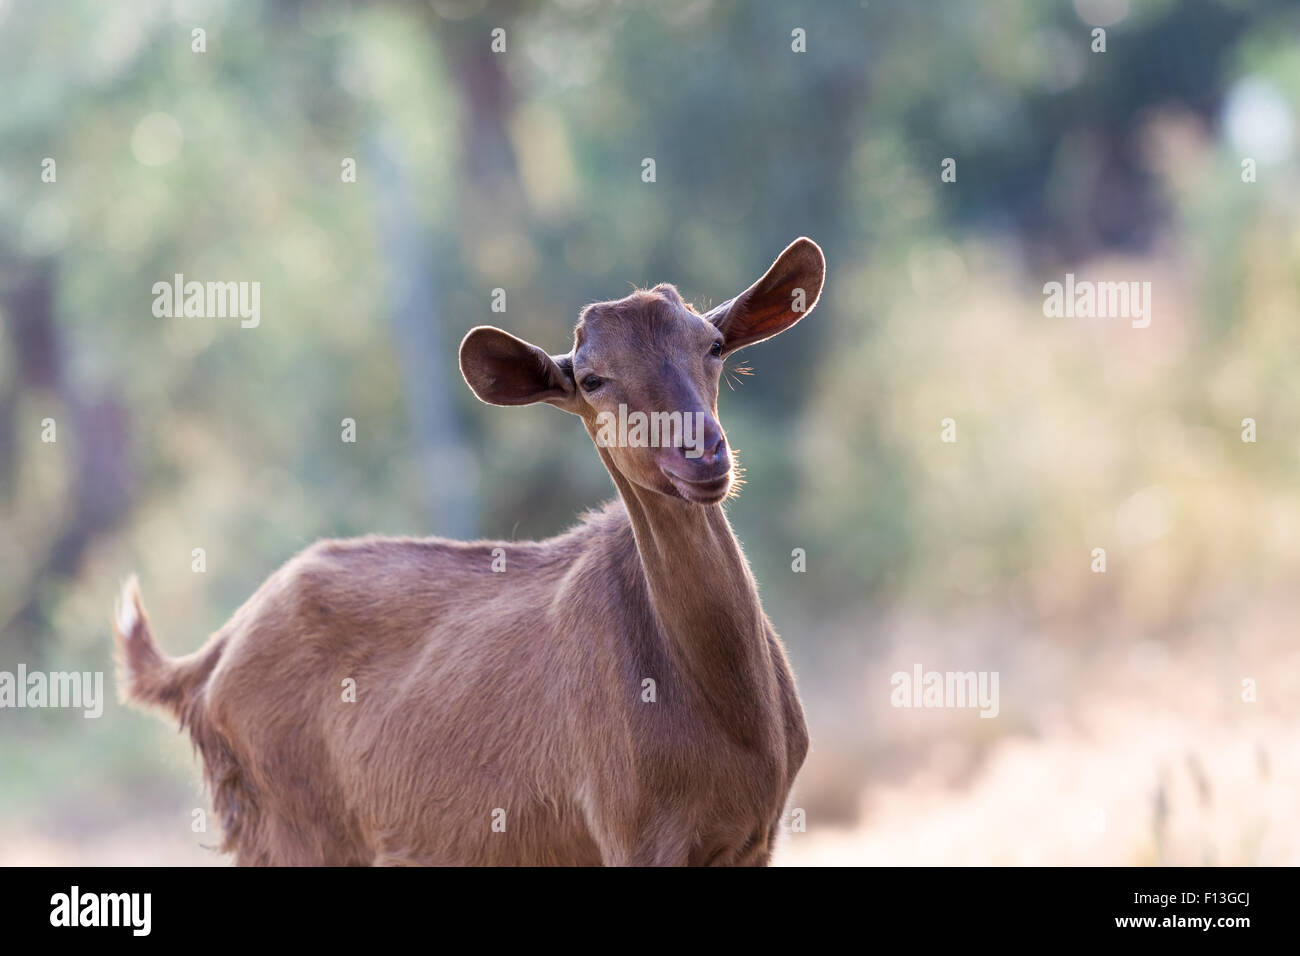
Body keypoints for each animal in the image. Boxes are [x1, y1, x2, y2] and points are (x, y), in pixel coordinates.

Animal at [113, 237, 823, 865]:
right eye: (593, 378)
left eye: (713, 345)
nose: (700, 455)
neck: (727, 715)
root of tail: (210, 660)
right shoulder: (631, 829)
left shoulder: (753, 838)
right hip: (291, 829)